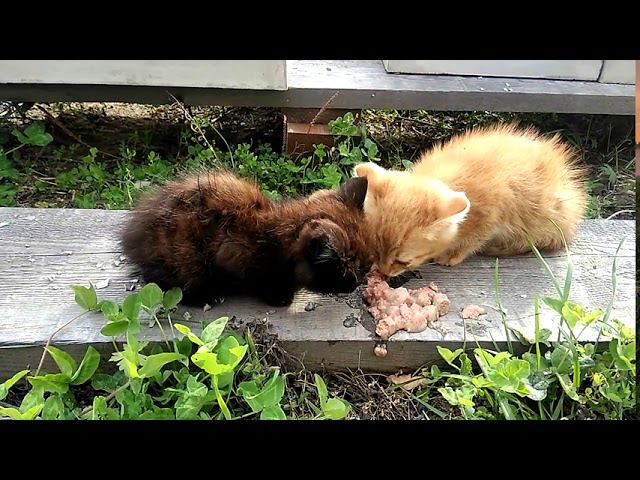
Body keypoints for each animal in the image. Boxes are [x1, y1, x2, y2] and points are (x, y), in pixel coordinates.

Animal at [354, 124, 587, 277]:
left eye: (403, 261)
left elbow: (473, 239)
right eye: (376, 250)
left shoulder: (493, 214)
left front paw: (451, 255)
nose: (383, 272)